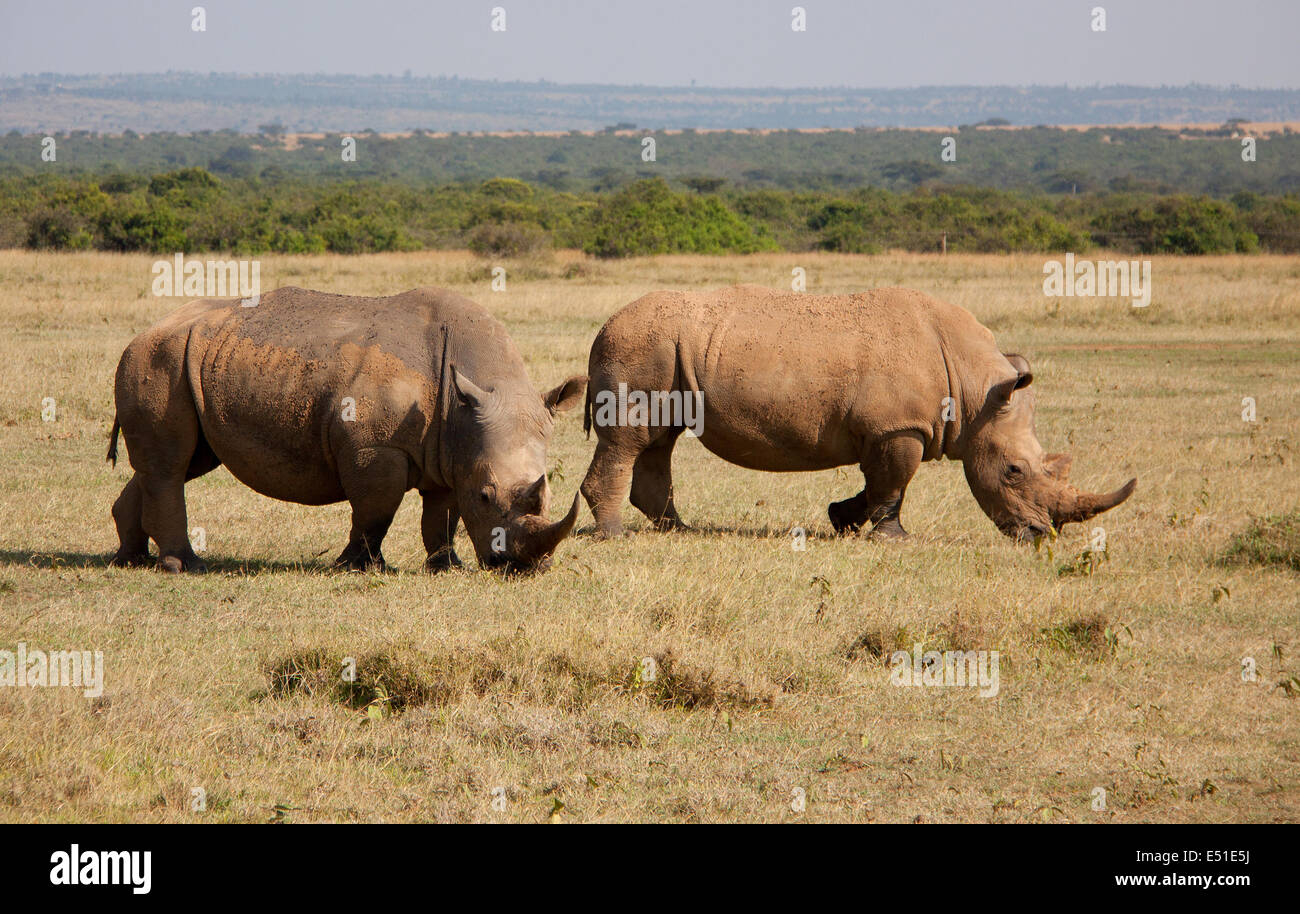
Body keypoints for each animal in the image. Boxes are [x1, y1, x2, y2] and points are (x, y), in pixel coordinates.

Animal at [107, 286, 586, 573]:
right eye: (486, 497)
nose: (523, 568)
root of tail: (146, 331)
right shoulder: (375, 448)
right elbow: (376, 511)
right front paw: (358, 566)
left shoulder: (452, 449)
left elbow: (442, 515)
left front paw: (447, 567)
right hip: (161, 358)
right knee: (171, 466)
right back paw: (184, 566)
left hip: (193, 362)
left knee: (184, 461)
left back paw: (131, 559)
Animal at [580, 285, 1135, 541]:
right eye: (1014, 471)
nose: (1040, 535)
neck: (975, 389)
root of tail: (603, 327)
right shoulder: (899, 428)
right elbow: (893, 485)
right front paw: (894, 539)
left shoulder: (886, 429)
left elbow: (878, 484)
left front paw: (841, 520)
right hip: (642, 347)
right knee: (632, 440)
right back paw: (615, 535)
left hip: (663, 350)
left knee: (659, 442)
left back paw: (679, 530)